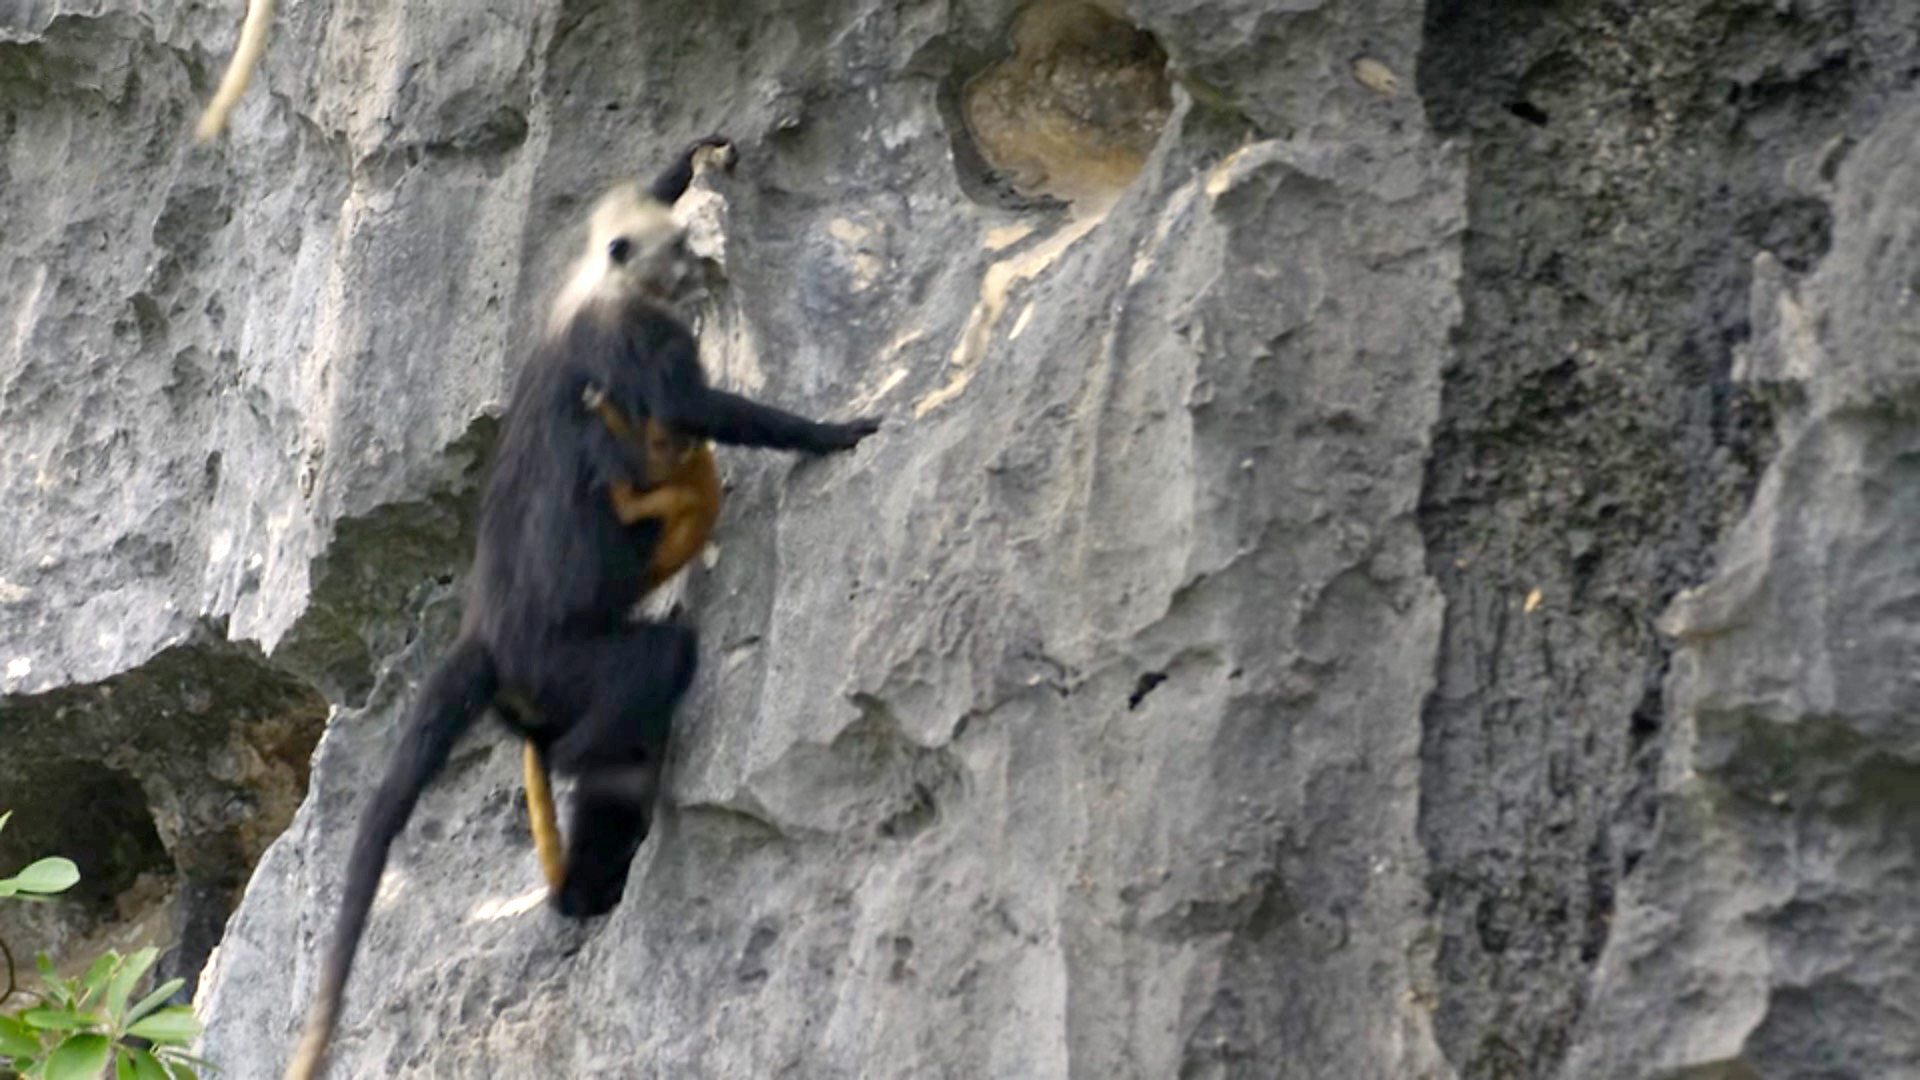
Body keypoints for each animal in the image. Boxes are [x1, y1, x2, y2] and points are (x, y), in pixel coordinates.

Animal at [284, 135, 881, 1080]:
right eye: (677, 253)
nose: (696, 266)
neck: (605, 291)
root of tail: (487, 633)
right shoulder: (639, 338)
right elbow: (688, 406)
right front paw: (827, 433)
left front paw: (689, 158)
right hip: (561, 663)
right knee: (653, 667)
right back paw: (582, 759)